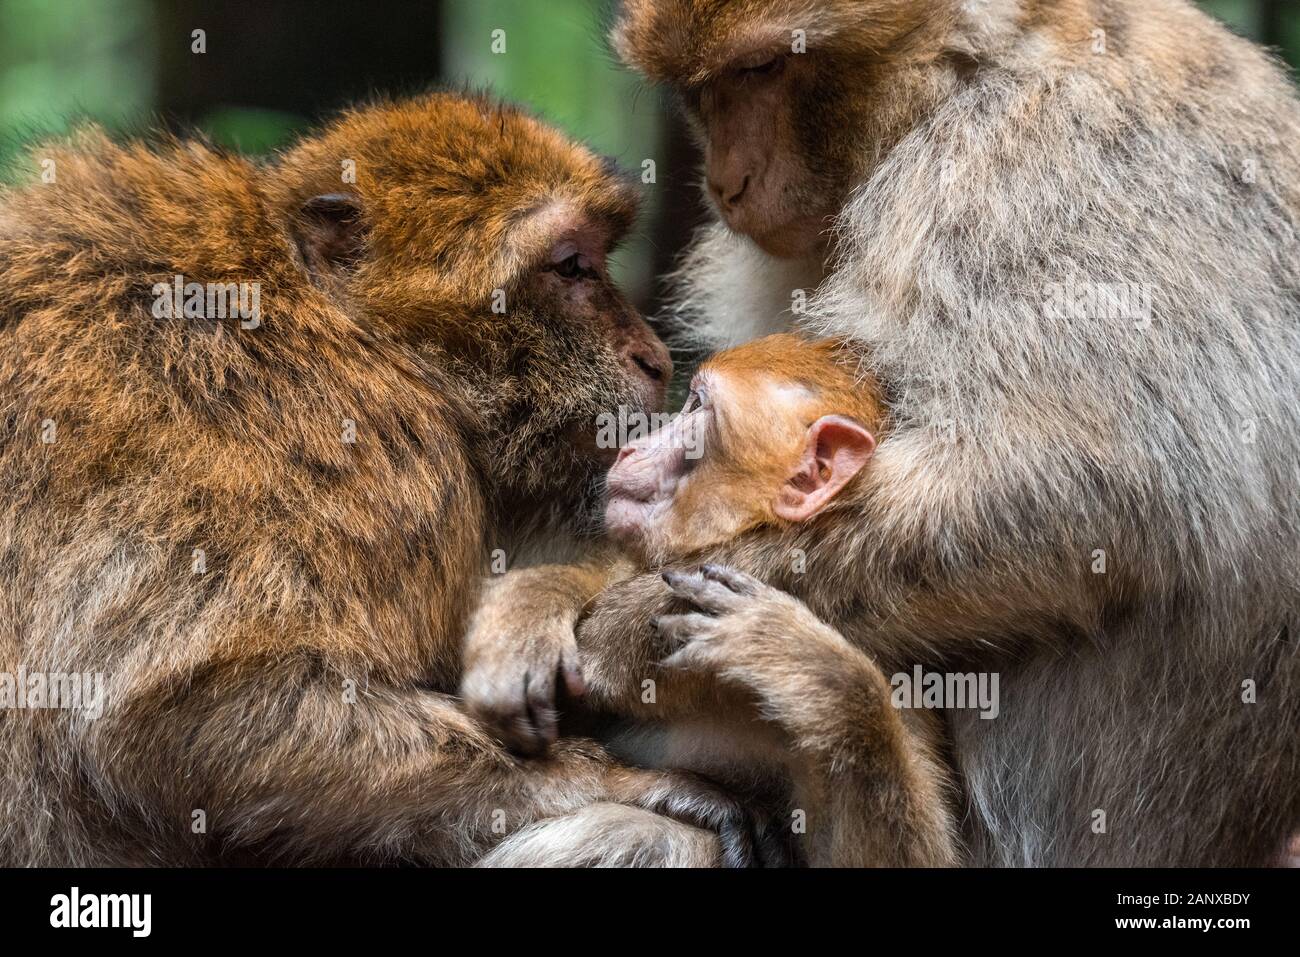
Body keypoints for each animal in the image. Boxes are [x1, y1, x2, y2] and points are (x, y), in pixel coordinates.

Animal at [0, 92, 763, 866]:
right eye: (572, 266)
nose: (655, 358)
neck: (345, 329)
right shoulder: (369, 454)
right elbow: (171, 717)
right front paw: (625, 782)